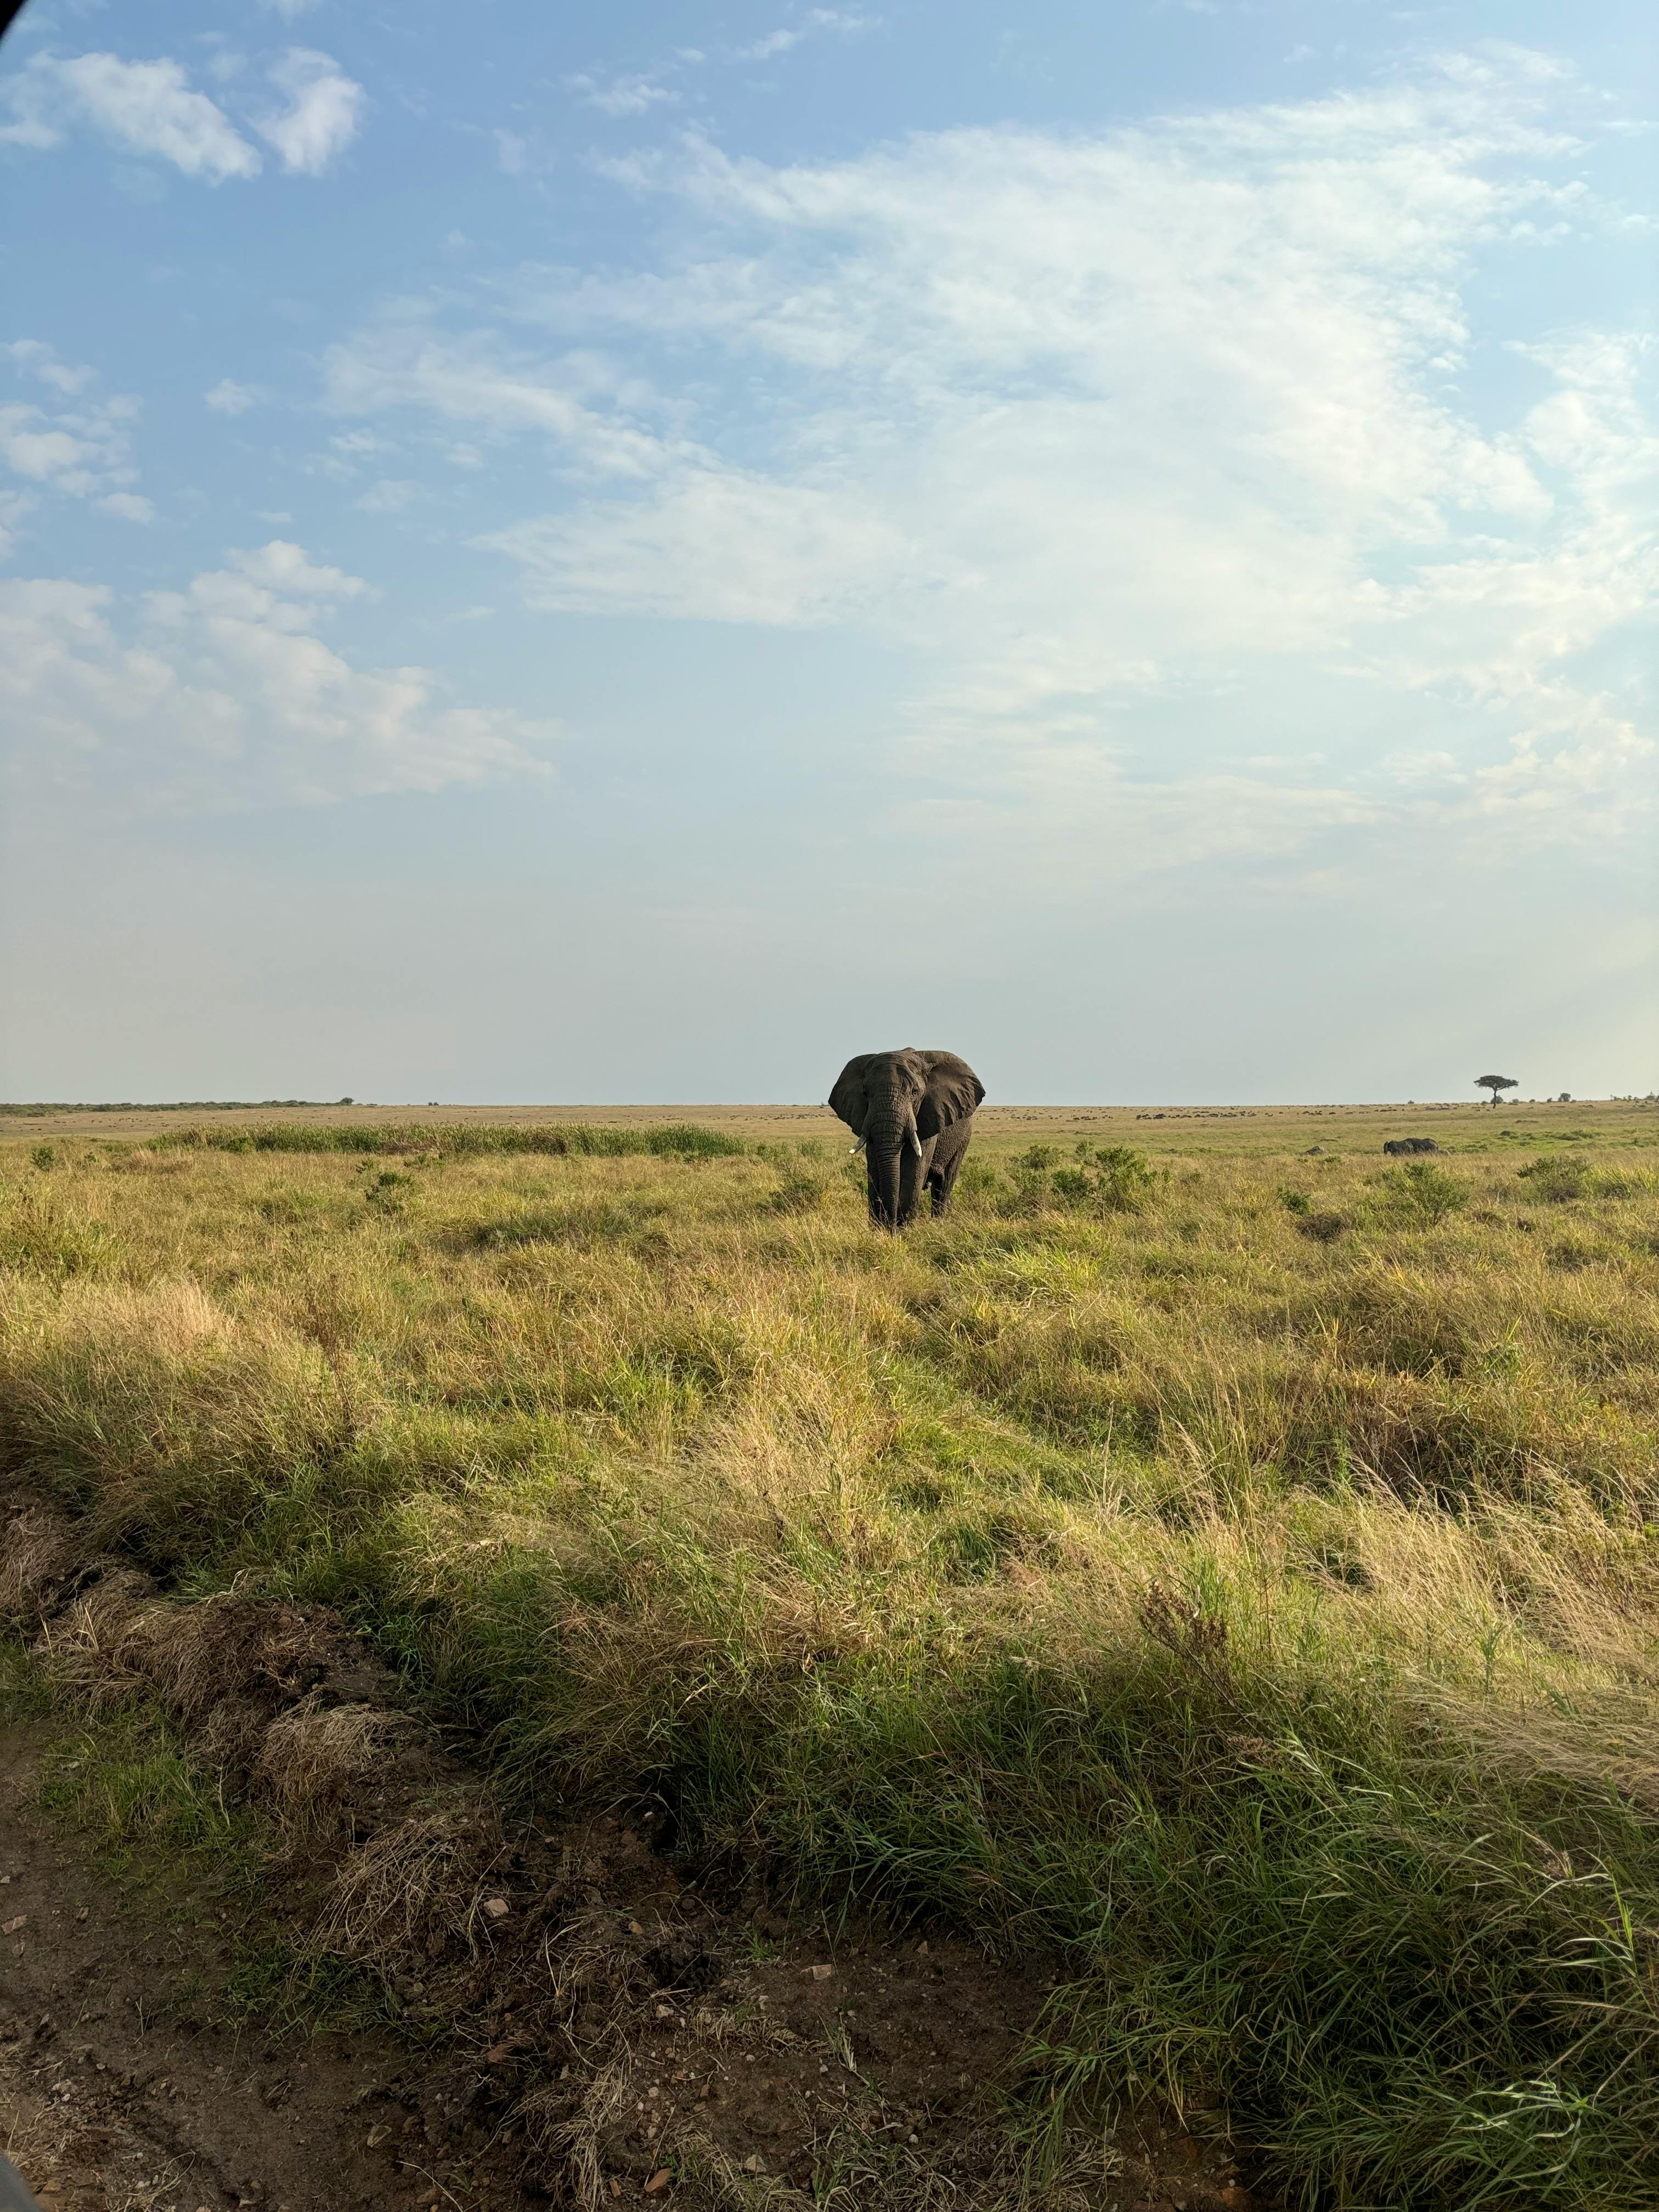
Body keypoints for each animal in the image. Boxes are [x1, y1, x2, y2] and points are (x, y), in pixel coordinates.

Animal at [829, 1048, 986, 1229]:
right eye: (866, 1093)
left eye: (915, 1092)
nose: (890, 1226)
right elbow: (874, 1172)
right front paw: (879, 1231)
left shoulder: (928, 1118)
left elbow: (914, 1171)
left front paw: (905, 1231)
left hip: (963, 1139)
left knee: (944, 1185)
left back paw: (939, 1225)